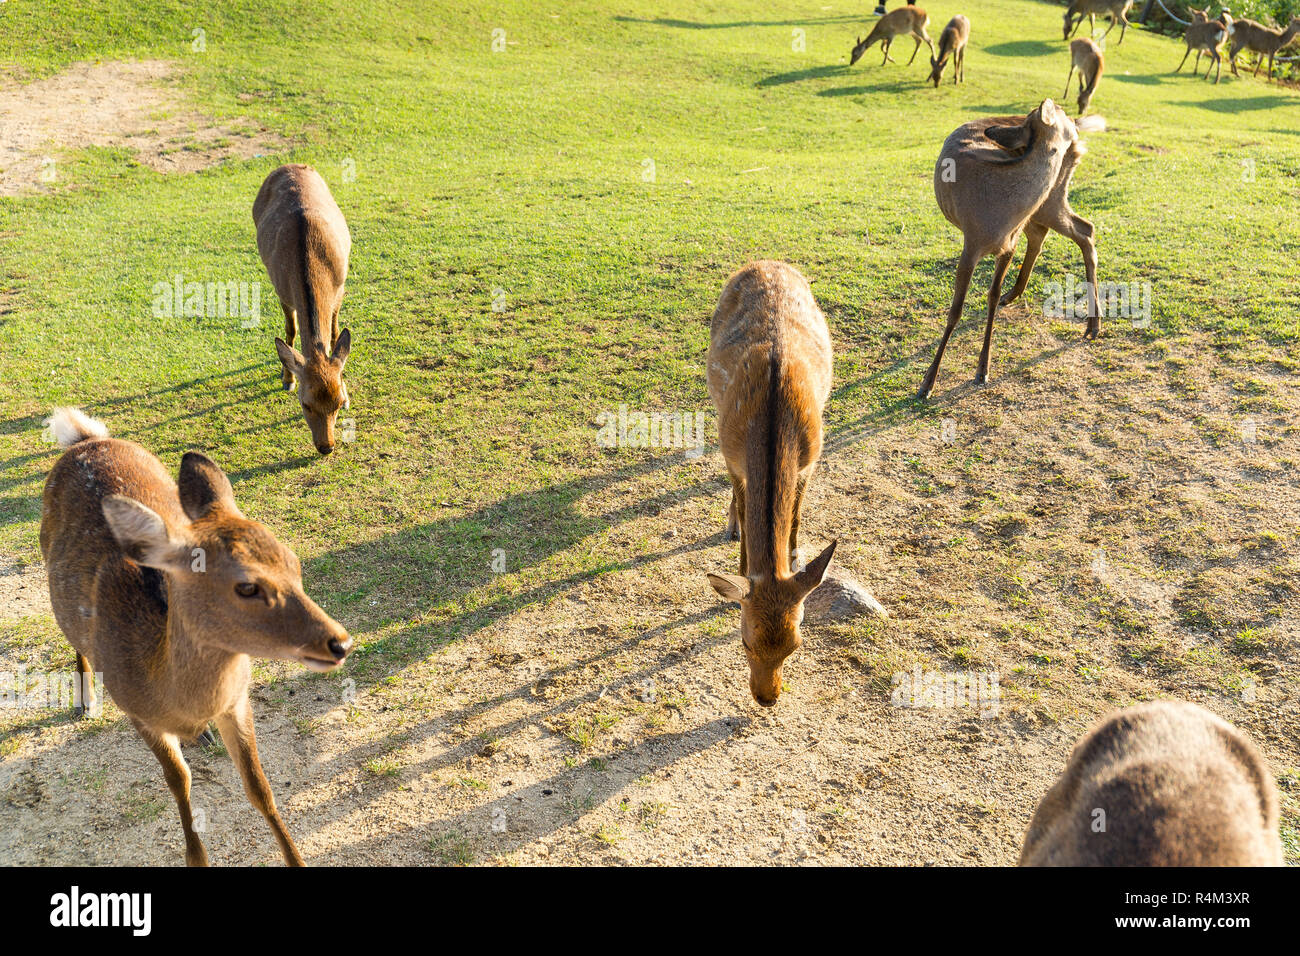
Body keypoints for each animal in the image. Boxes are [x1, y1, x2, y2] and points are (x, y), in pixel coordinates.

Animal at [39, 407, 352, 865]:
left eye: (293, 562)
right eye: (246, 586)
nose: (340, 643)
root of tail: (83, 439)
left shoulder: (238, 699)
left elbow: (260, 788)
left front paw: (297, 858)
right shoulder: (138, 713)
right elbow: (179, 781)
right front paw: (196, 856)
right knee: (72, 636)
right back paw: (85, 701)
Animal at [253, 164, 353, 455]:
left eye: (338, 402)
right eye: (305, 404)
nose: (326, 446)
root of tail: (288, 165)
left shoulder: (340, 287)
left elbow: (334, 334)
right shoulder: (282, 290)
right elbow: (290, 330)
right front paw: (288, 378)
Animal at [705, 261, 837, 707]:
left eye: (796, 644)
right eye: (745, 641)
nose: (767, 698)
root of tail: (765, 263)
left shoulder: (811, 459)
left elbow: (794, 519)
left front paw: (794, 560)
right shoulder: (733, 457)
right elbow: (748, 519)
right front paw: (742, 565)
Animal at [919, 100, 1101, 399]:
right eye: (1060, 109)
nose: (1073, 119)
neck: (999, 213)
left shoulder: (1007, 246)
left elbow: (990, 296)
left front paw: (982, 370)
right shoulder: (971, 243)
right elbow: (956, 309)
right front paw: (927, 383)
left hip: (1051, 199)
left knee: (1081, 229)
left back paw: (1093, 325)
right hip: (1049, 202)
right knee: (1070, 230)